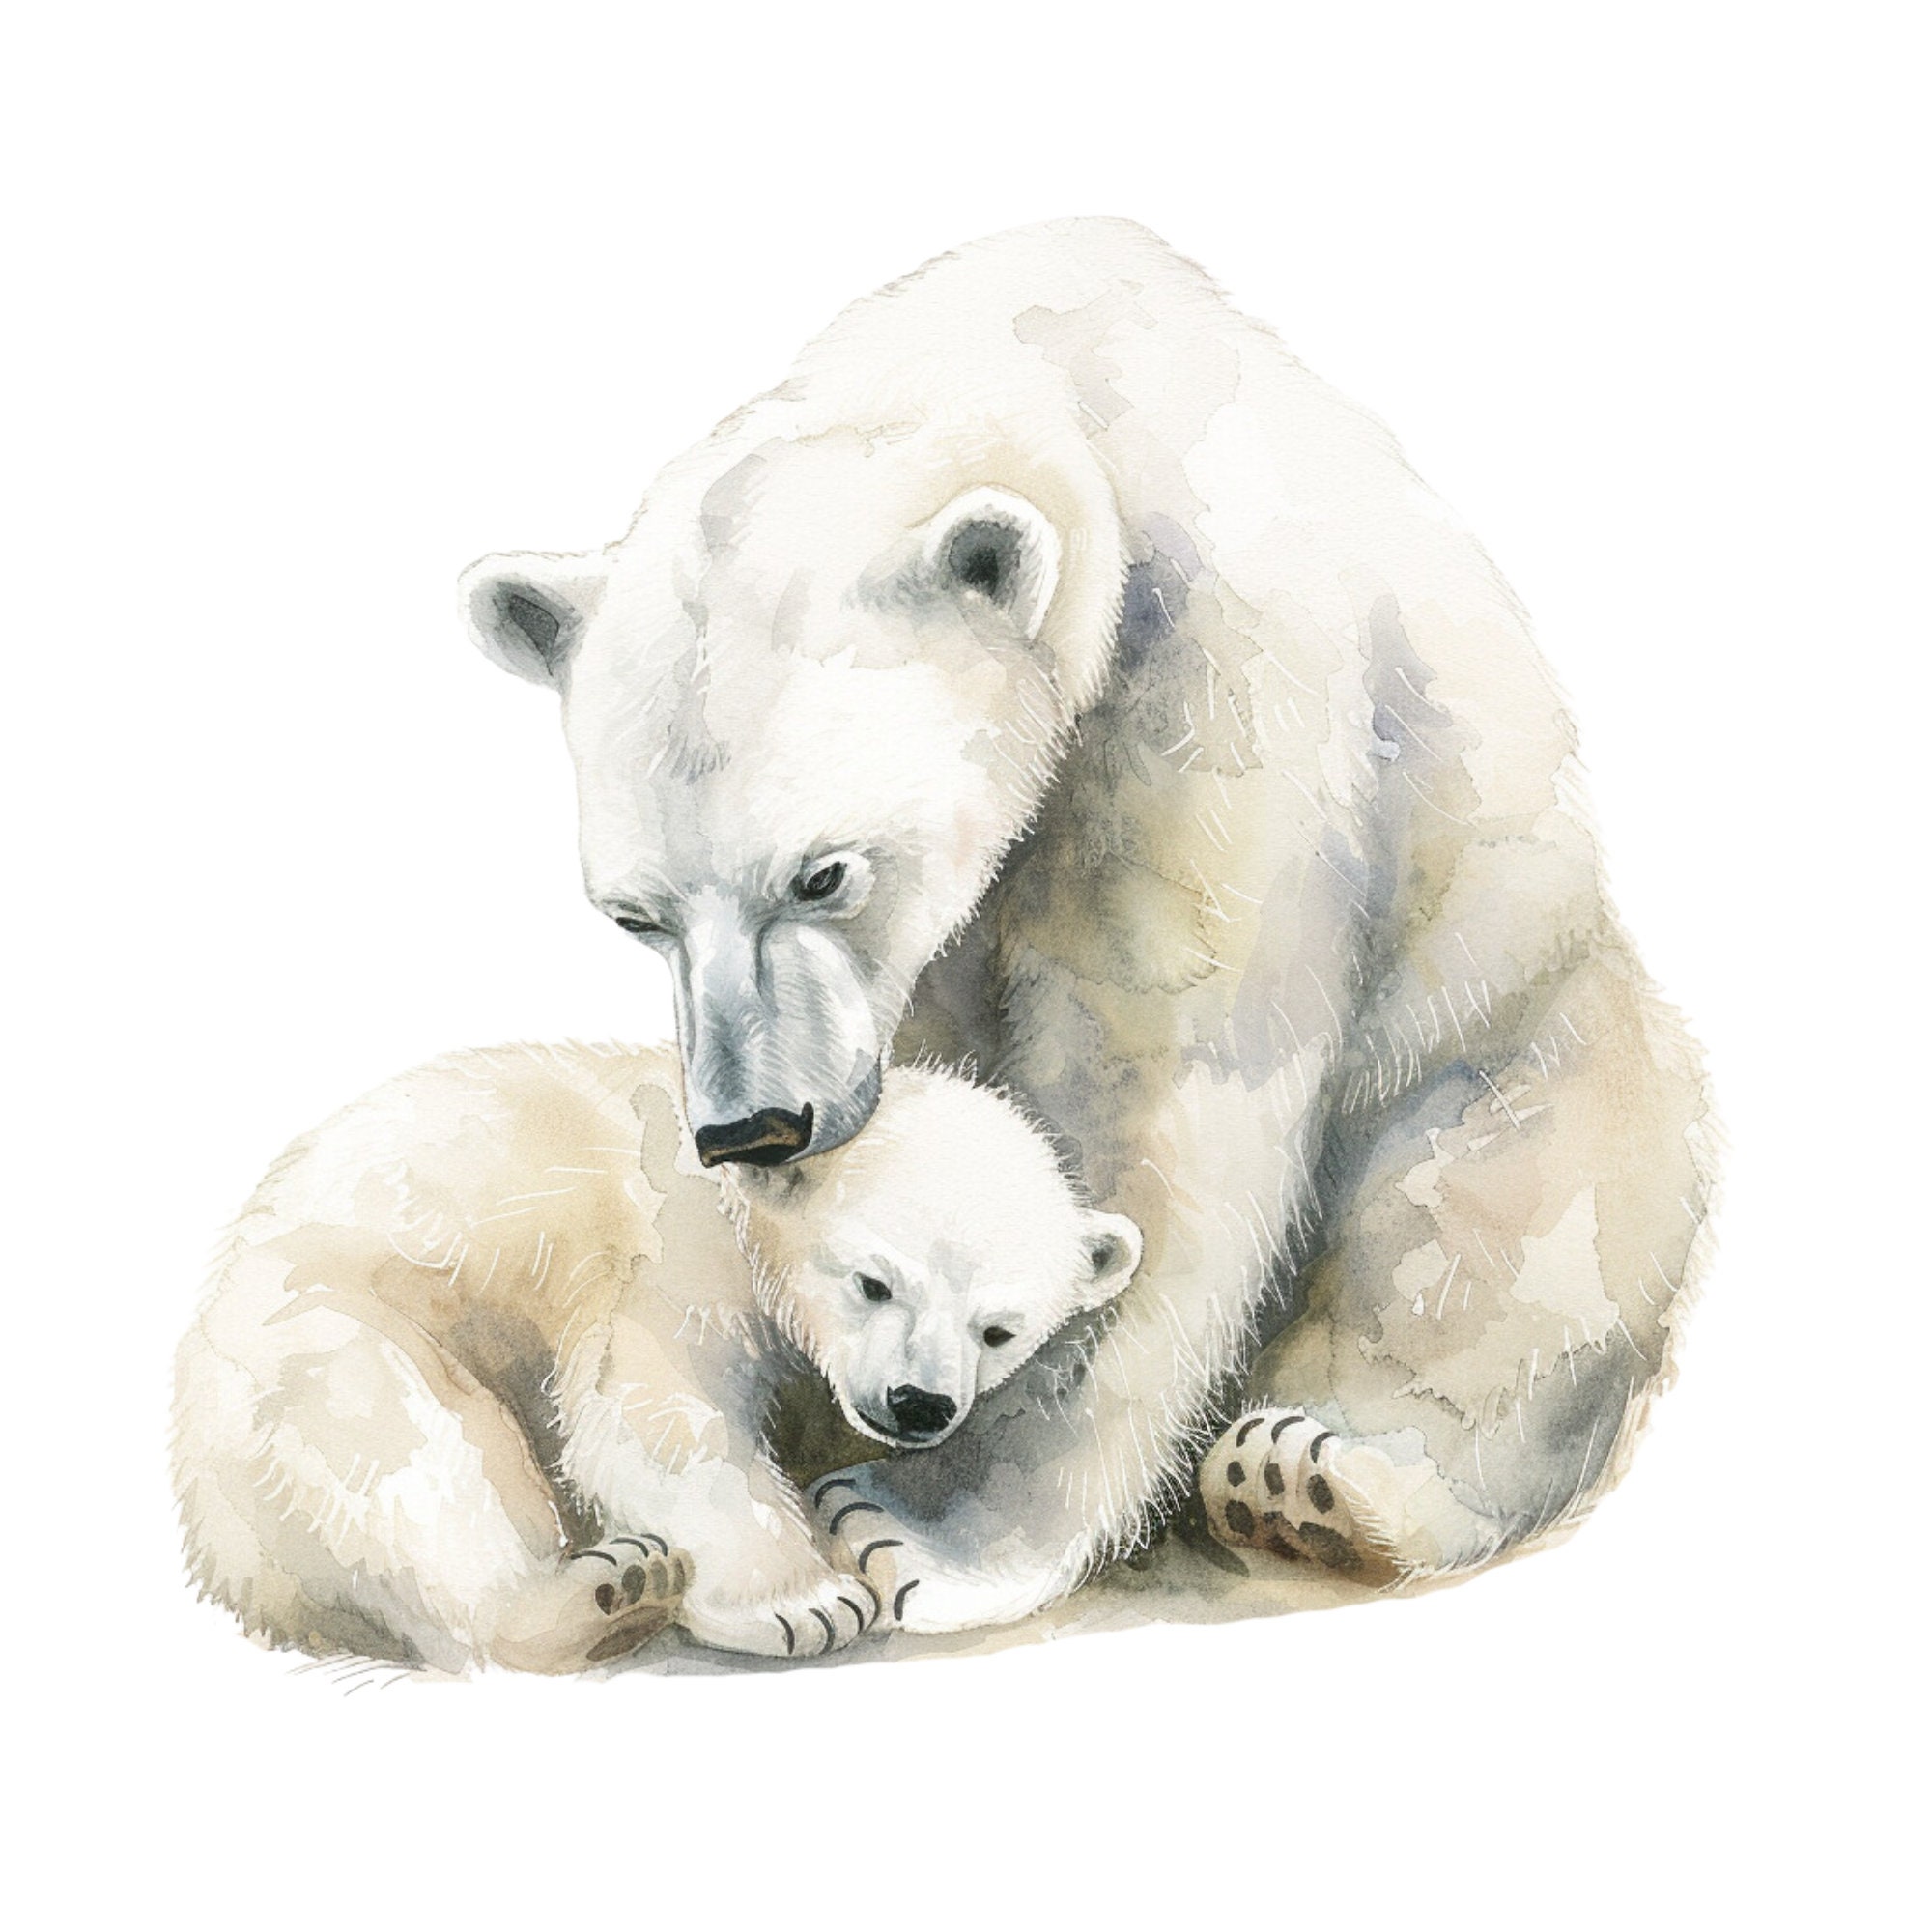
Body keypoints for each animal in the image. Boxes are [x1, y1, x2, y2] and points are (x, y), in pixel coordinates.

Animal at [171, 1045, 1141, 1672]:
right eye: (873, 1283)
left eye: (999, 1329)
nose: (917, 1404)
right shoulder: (671, 1255)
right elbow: (655, 1411)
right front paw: (804, 1602)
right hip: (323, 1336)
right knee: (407, 1454)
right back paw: (599, 1597)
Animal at [456, 217, 1716, 1633]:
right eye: (635, 915)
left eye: (824, 873)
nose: (749, 1124)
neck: (1047, 365)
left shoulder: (1214, 700)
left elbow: (1155, 1093)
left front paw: (931, 1537)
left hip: (1532, 1045)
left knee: (1482, 1243)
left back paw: (1321, 1481)